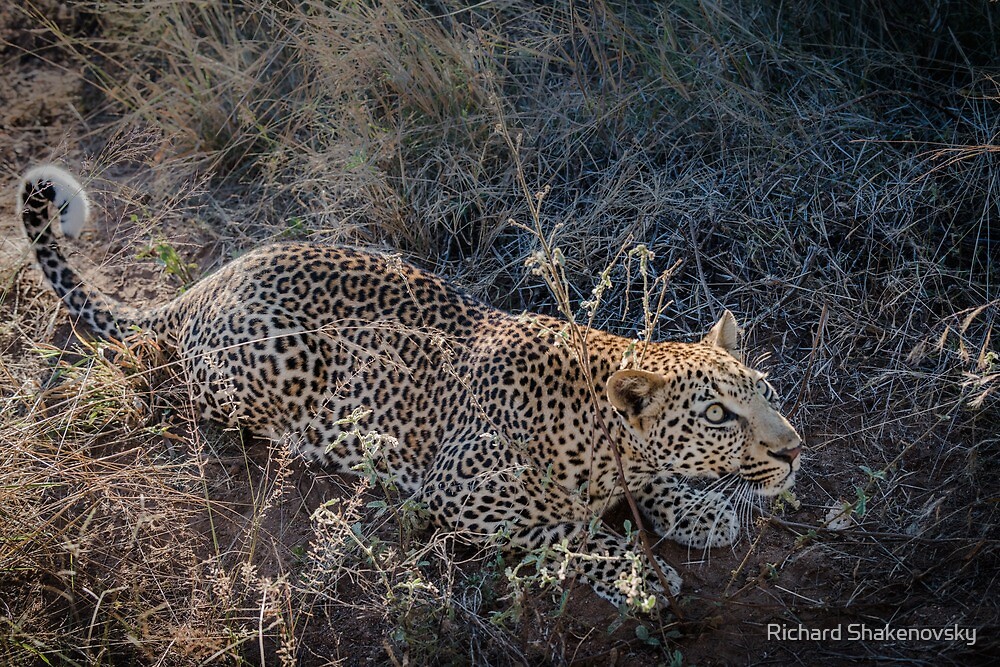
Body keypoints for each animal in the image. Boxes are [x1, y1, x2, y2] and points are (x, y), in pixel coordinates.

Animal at [17, 165, 802, 608]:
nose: (794, 450)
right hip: (281, 361)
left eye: (764, 390)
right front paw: (642, 577)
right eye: (718, 414)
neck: (598, 432)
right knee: (188, 381)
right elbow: (577, 531)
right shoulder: (462, 498)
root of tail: (210, 280)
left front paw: (700, 510)